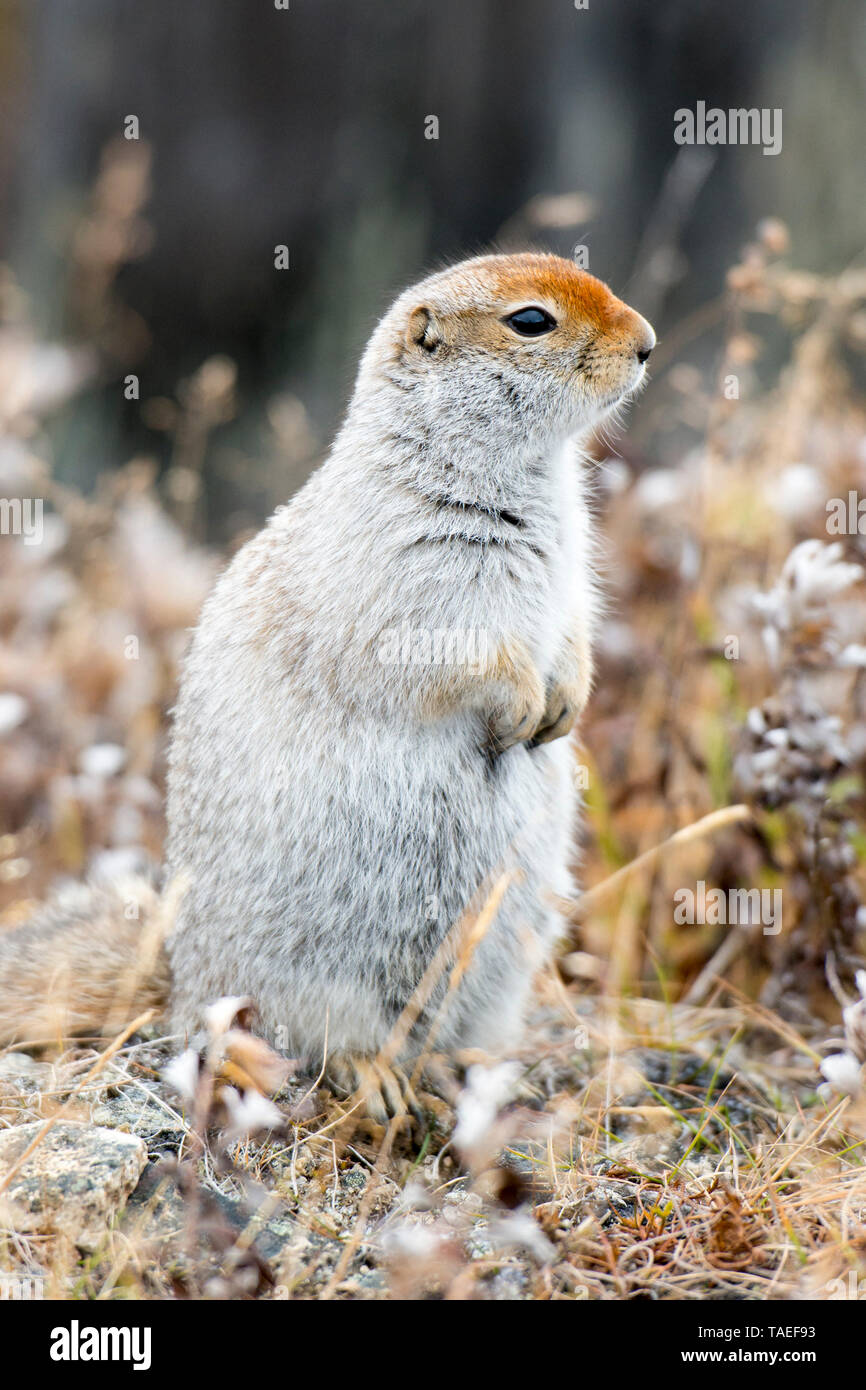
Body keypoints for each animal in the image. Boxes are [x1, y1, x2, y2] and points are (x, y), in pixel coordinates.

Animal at [0, 253, 654, 1120]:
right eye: (531, 321)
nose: (648, 343)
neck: (513, 477)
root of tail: (181, 985)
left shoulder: (575, 560)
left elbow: (576, 624)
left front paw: (564, 702)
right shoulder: (417, 582)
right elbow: (458, 656)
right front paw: (520, 707)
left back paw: (469, 1069)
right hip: (306, 979)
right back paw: (373, 1076)